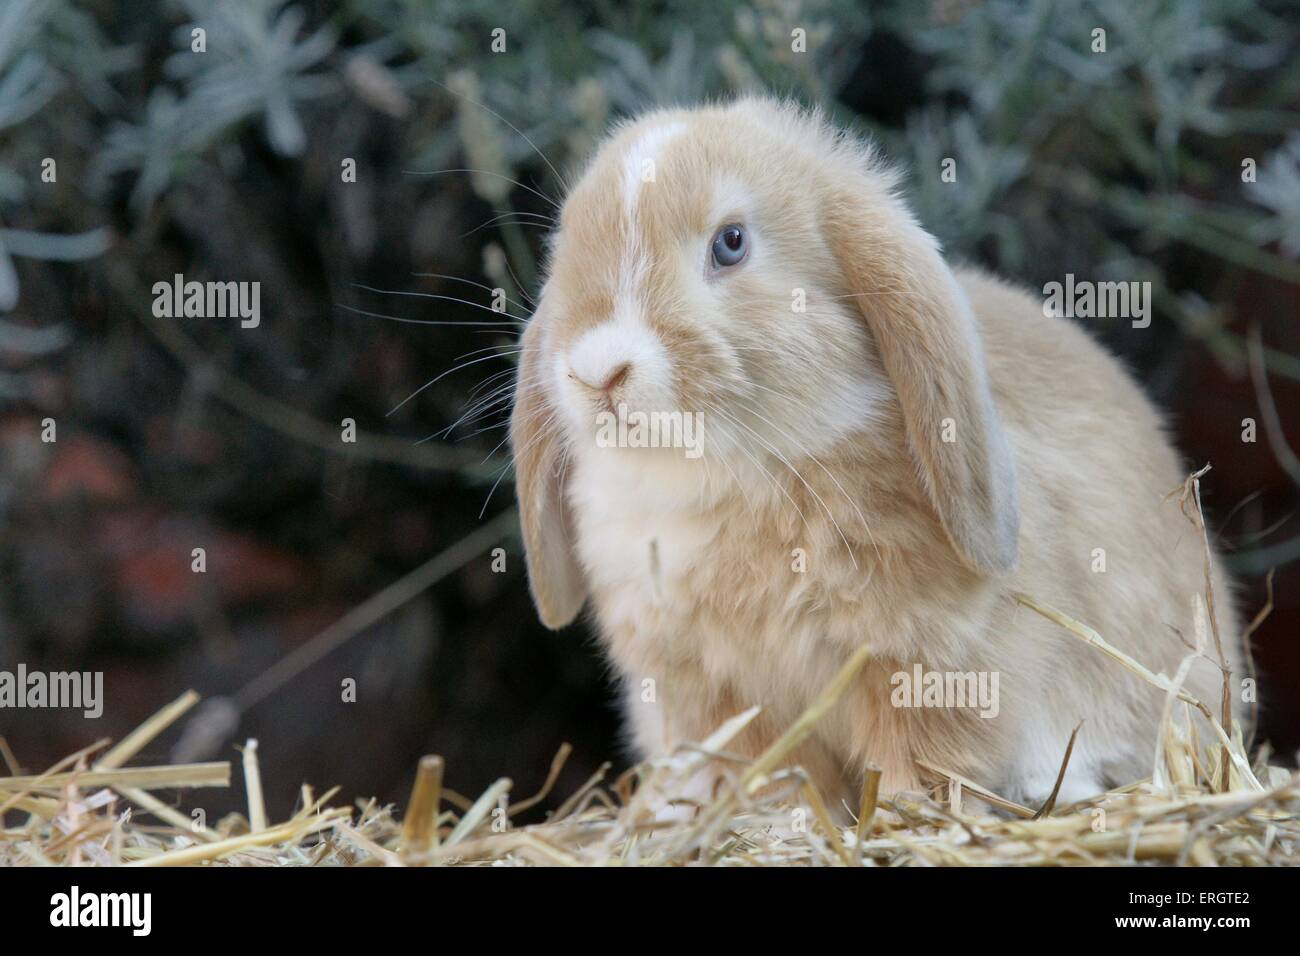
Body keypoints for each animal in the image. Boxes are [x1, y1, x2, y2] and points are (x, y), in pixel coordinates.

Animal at [509, 97, 1246, 816]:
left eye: (731, 242)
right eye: (564, 248)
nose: (596, 371)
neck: (716, 476)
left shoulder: (929, 662)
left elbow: (916, 761)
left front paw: (898, 816)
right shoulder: (720, 695)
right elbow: (772, 777)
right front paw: (775, 822)